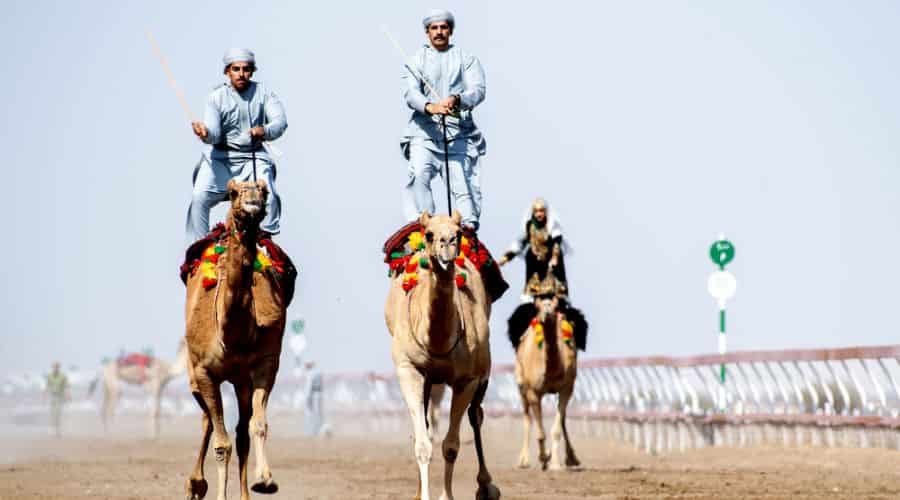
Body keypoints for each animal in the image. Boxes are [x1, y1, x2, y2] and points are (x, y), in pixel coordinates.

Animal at [183, 179, 296, 500]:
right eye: (233, 192)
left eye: (265, 190)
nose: (252, 202)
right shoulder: (205, 371)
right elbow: (221, 444)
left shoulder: (265, 365)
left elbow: (258, 425)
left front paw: (265, 481)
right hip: (195, 375)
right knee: (207, 421)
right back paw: (195, 485)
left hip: (240, 381)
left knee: (241, 432)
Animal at [385, 210, 501, 500]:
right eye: (429, 234)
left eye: (457, 233)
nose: (447, 243)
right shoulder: (409, 369)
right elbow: (423, 443)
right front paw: (423, 495)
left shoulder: (467, 379)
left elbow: (451, 446)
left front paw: (446, 495)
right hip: (427, 380)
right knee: (426, 426)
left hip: (483, 373)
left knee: (476, 415)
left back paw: (486, 486)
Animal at [513, 276, 583, 471]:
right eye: (538, 304)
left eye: (554, 304)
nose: (546, 314)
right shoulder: (533, 391)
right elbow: (540, 431)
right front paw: (543, 457)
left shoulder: (567, 388)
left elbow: (557, 428)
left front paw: (556, 463)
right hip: (521, 386)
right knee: (527, 418)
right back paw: (524, 460)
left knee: (562, 419)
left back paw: (571, 458)